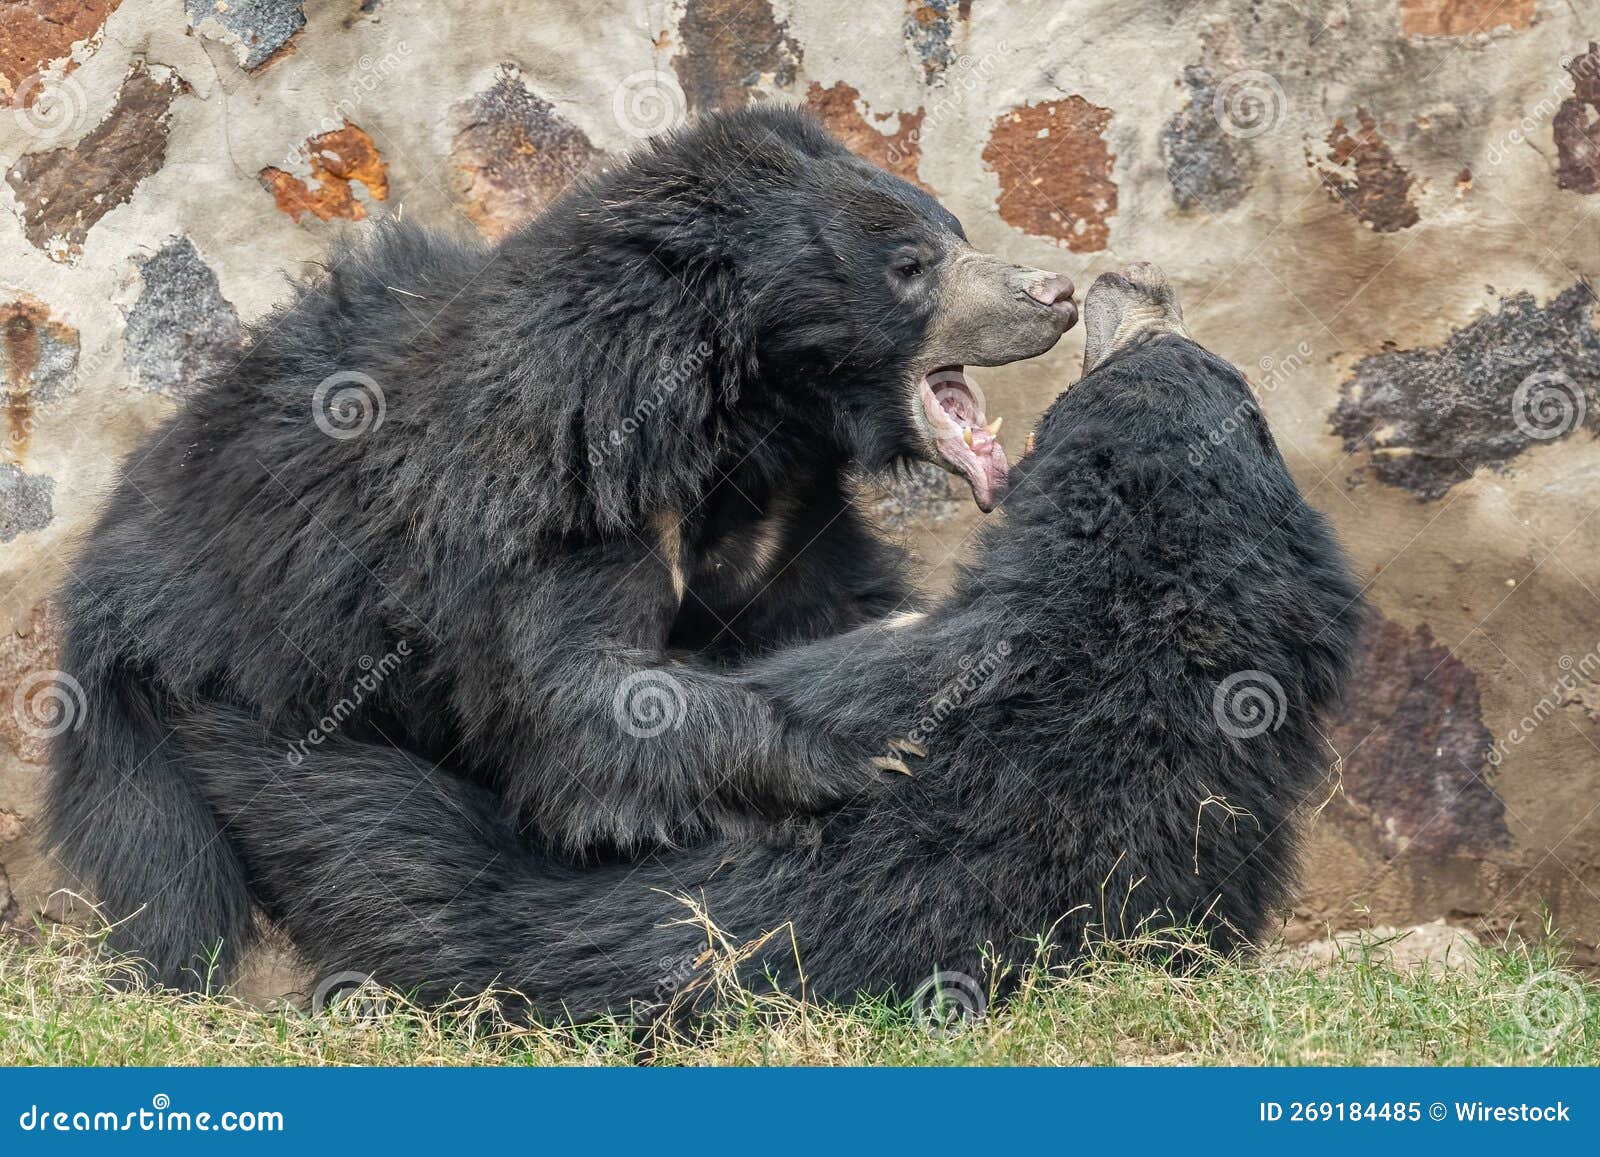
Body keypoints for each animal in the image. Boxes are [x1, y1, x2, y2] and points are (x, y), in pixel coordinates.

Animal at [46, 106, 1079, 990]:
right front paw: (863, 752)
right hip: (180, 680)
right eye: (911, 264)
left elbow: (818, 605)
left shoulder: (784, 499)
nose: (1055, 292)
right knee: (177, 863)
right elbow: (576, 699)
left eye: (956, 230)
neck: (738, 412)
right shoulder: (559, 493)